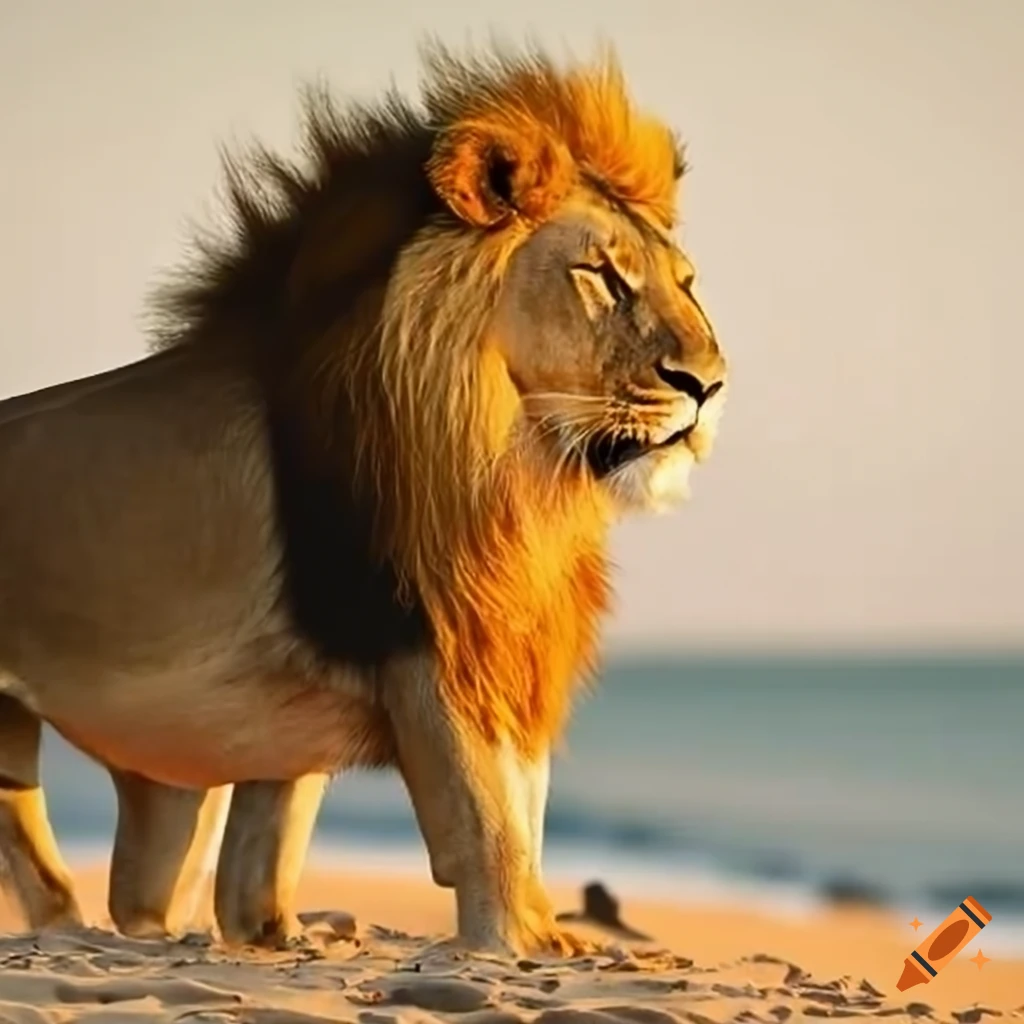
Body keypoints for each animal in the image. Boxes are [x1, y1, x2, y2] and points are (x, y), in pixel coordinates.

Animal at [0, 41, 727, 955]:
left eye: (687, 283)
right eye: (602, 277)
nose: (709, 384)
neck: (523, 467)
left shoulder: (478, 658)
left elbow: (265, 870)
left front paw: (283, 941)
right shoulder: (424, 644)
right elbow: (487, 823)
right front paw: (522, 943)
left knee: (142, 893)